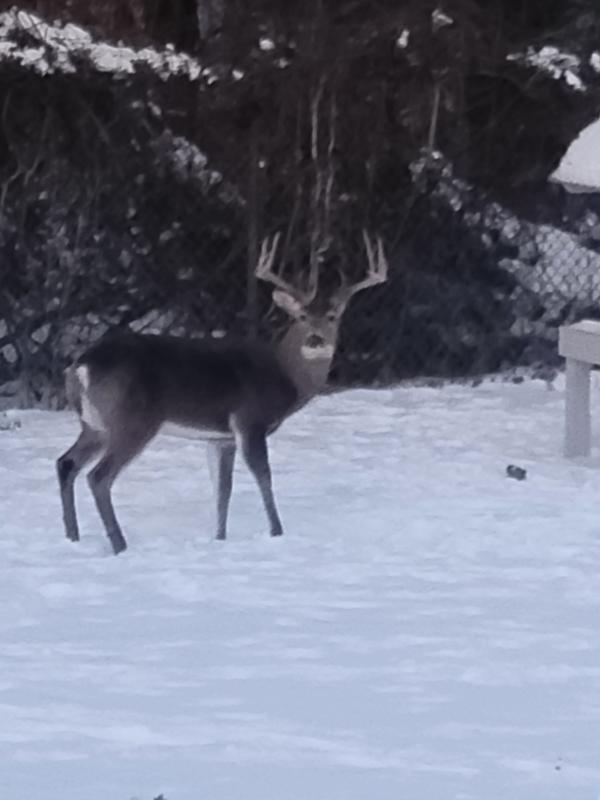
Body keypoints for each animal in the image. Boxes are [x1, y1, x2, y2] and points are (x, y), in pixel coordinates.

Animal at [56, 231, 388, 554]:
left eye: (332, 316)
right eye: (301, 317)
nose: (316, 340)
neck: (284, 375)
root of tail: (82, 366)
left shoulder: (220, 438)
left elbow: (222, 489)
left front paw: (219, 539)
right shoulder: (249, 421)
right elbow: (263, 476)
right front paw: (277, 532)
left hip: (94, 424)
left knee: (66, 464)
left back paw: (73, 538)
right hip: (132, 420)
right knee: (98, 476)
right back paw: (119, 545)